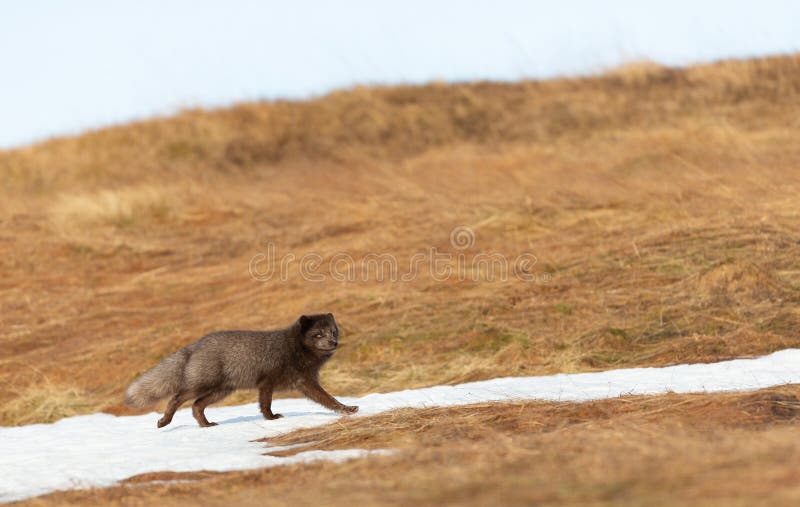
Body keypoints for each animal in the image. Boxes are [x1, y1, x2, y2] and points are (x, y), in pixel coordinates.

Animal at [124, 313, 358, 428]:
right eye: (318, 334)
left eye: (333, 331)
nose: (333, 342)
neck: (293, 350)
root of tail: (195, 345)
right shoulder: (267, 382)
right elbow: (265, 404)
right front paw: (271, 419)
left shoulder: (306, 383)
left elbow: (329, 400)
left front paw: (346, 410)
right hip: (203, 385)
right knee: (176, 398)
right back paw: (164, 422)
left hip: (222, 391)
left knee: (196, 406)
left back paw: (206, 425)